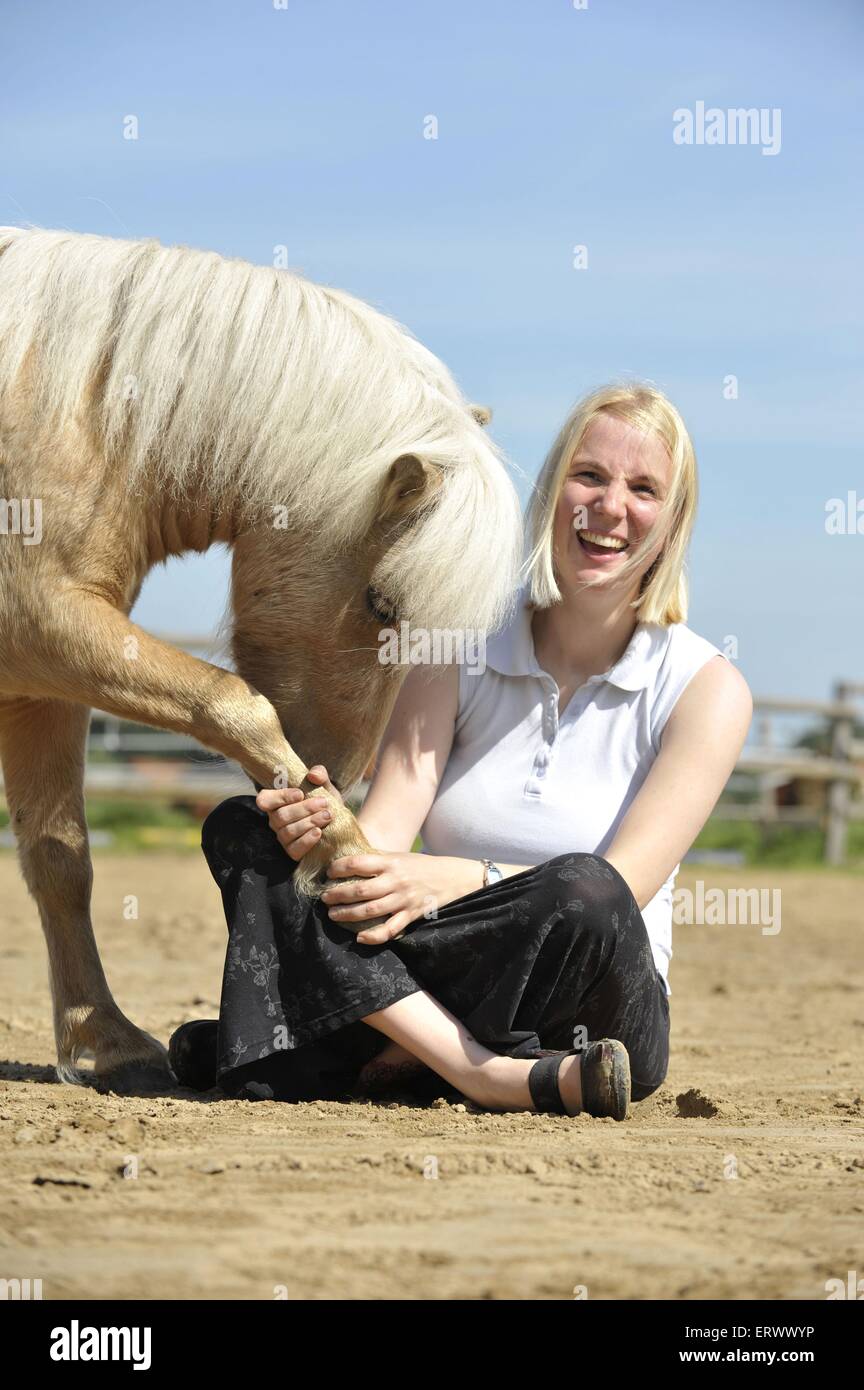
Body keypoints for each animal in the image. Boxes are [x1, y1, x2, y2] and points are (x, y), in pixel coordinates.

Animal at [0, 225, 524, 1092]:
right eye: (383, 605)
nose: (336, 774)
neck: (72, 407)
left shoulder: (44, 678)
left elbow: (60, 858)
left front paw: (102, 1044)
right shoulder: (40, 625)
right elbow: (235, 703)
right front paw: (350, 860)